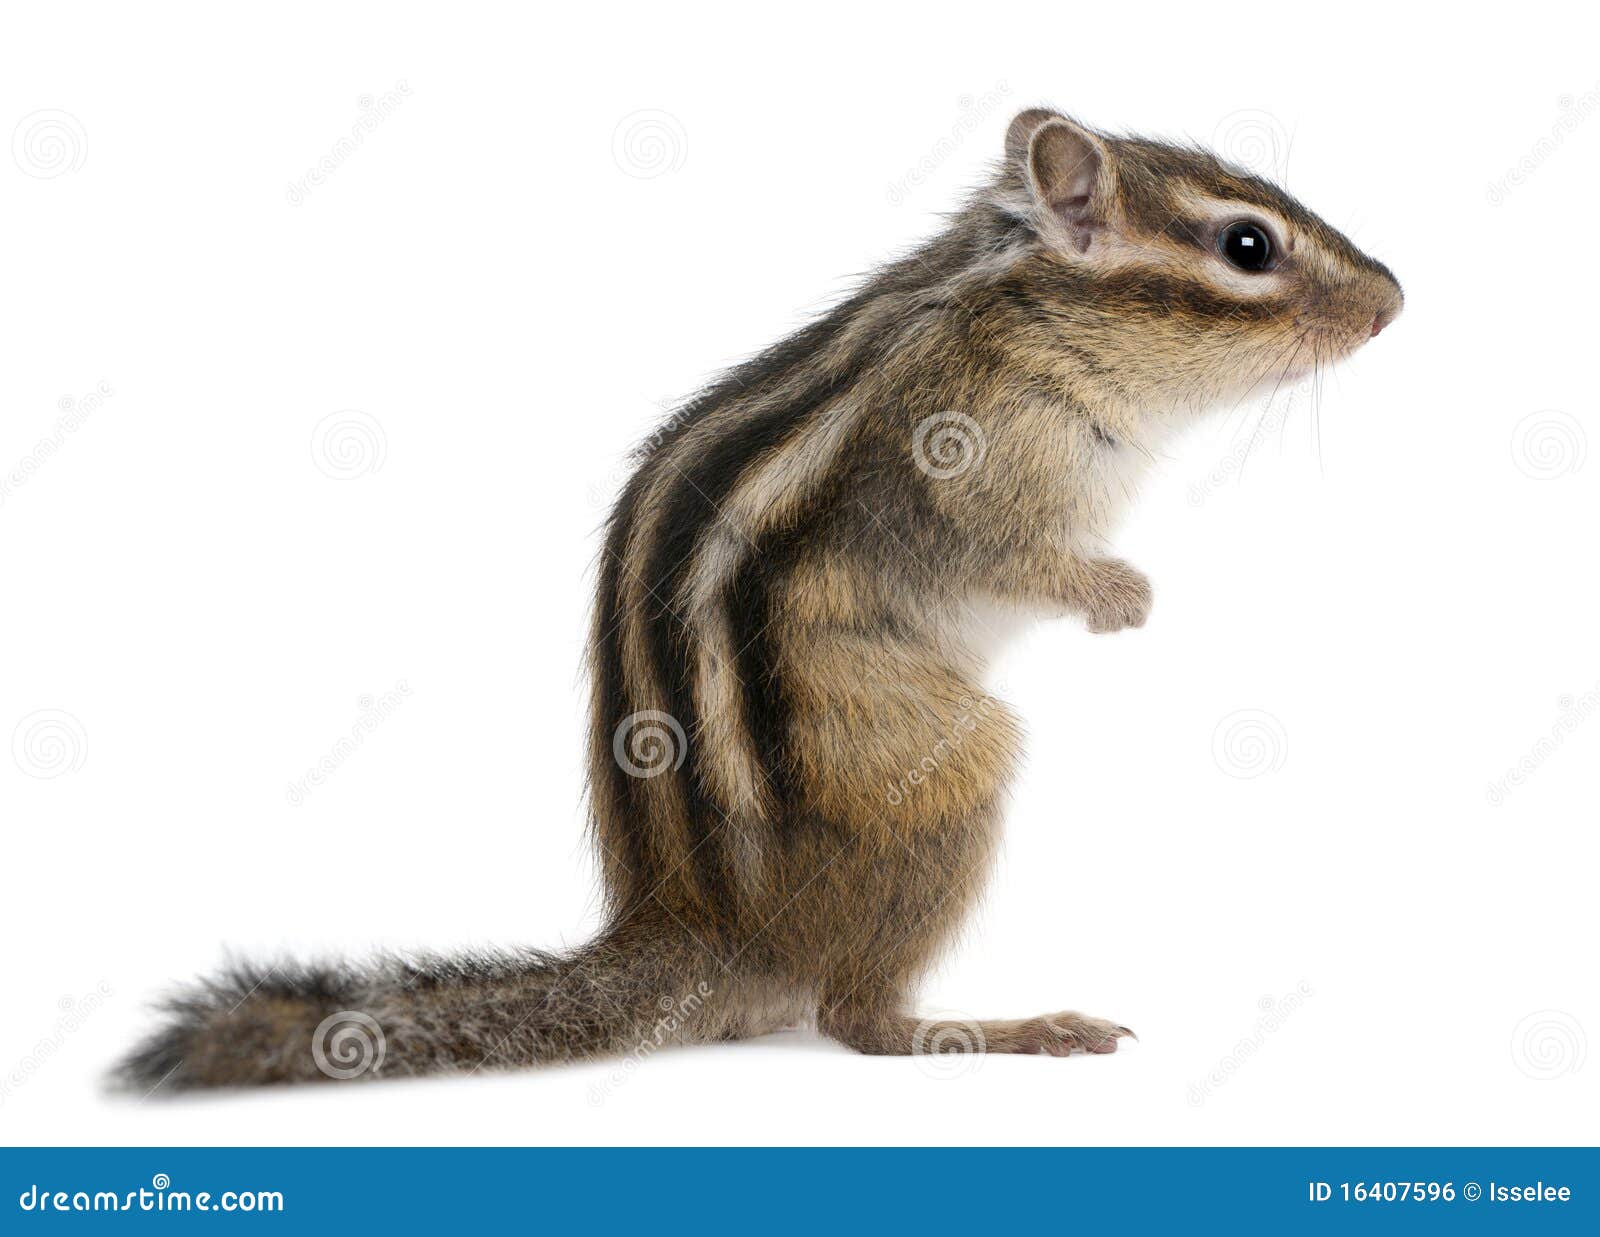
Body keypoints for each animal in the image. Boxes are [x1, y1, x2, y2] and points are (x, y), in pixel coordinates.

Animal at [119, 108, 1401, 1089]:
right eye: (1246, 243)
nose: (1392, 299)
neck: (1020, 311)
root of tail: (704, 926)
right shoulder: (954, 469)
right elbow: (997, 557)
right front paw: (1119, 594)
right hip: (944, 766)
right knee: (856, 1020)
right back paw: (1005, 1027)